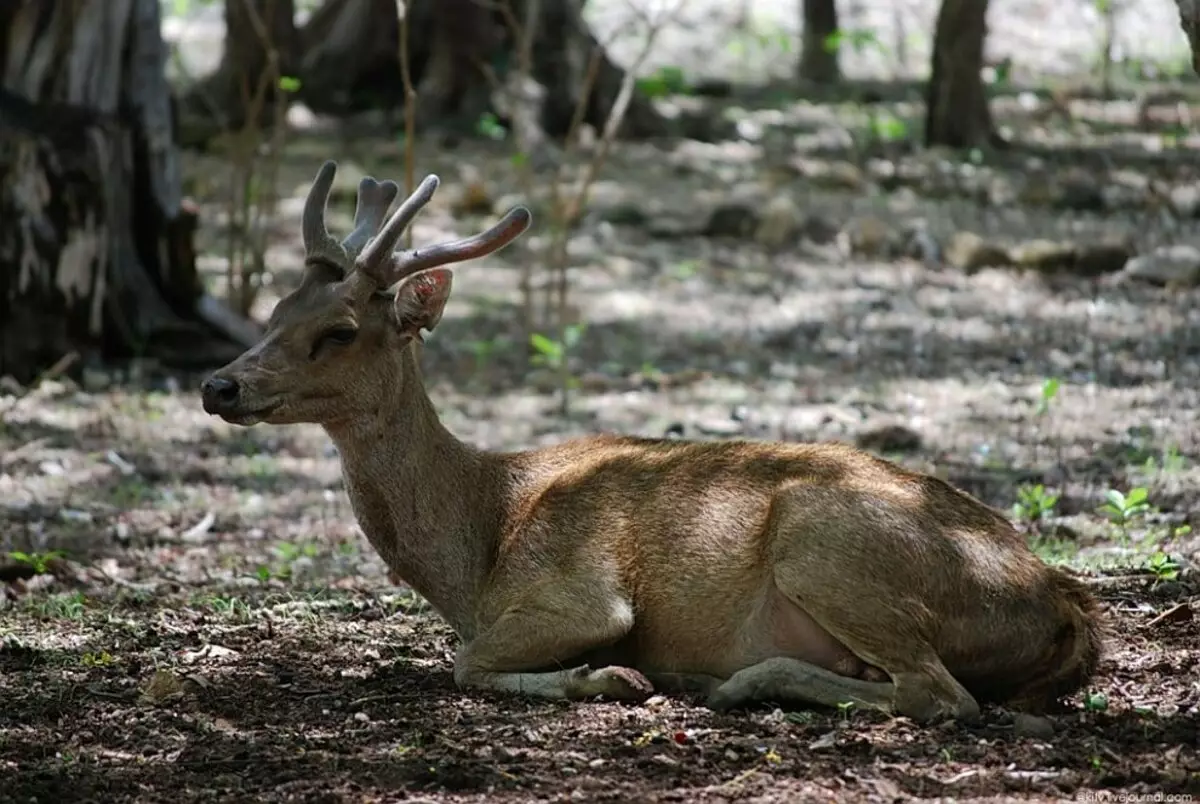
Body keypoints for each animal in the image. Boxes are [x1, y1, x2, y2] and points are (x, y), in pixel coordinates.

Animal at [199, 160, 1104, 729]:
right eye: (276, 309)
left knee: (939, 695)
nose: (220, 386)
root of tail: (1063, 601)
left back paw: (733, 682)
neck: (478, 546)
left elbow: (466, 662)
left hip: (826, 541)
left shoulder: (580, 591)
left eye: (339, 332)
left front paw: (609, 675)